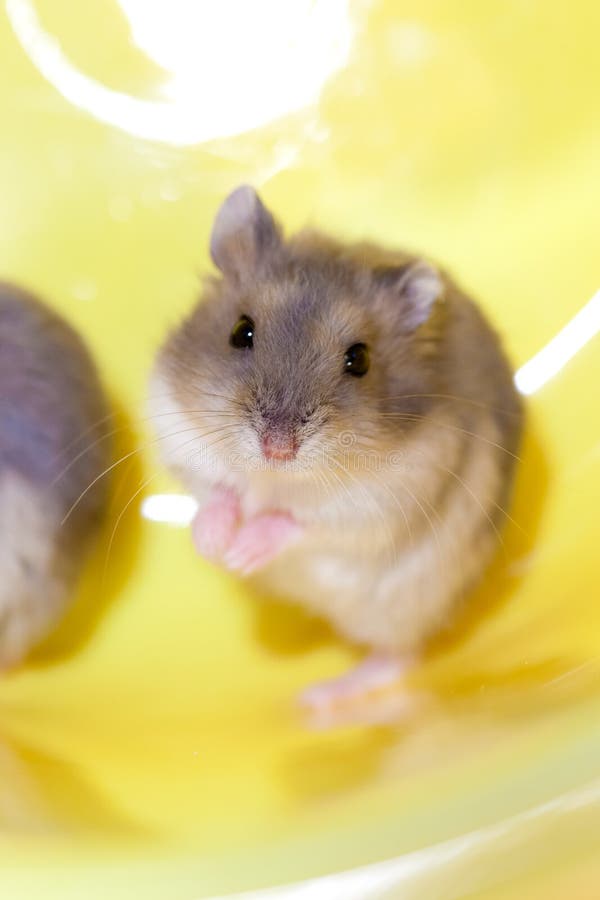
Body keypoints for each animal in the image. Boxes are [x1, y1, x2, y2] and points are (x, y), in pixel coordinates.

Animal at [150, 186, 523, 709]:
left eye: (359, 360)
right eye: (241, 332)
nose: (277, 447)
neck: (272, 478)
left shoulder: (375, 504)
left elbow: (298, 521)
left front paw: (241, 554)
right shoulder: (180, 434)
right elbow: (216, 491)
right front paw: (213, 547)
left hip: (405, 603)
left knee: (397, 659)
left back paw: (316, 702)